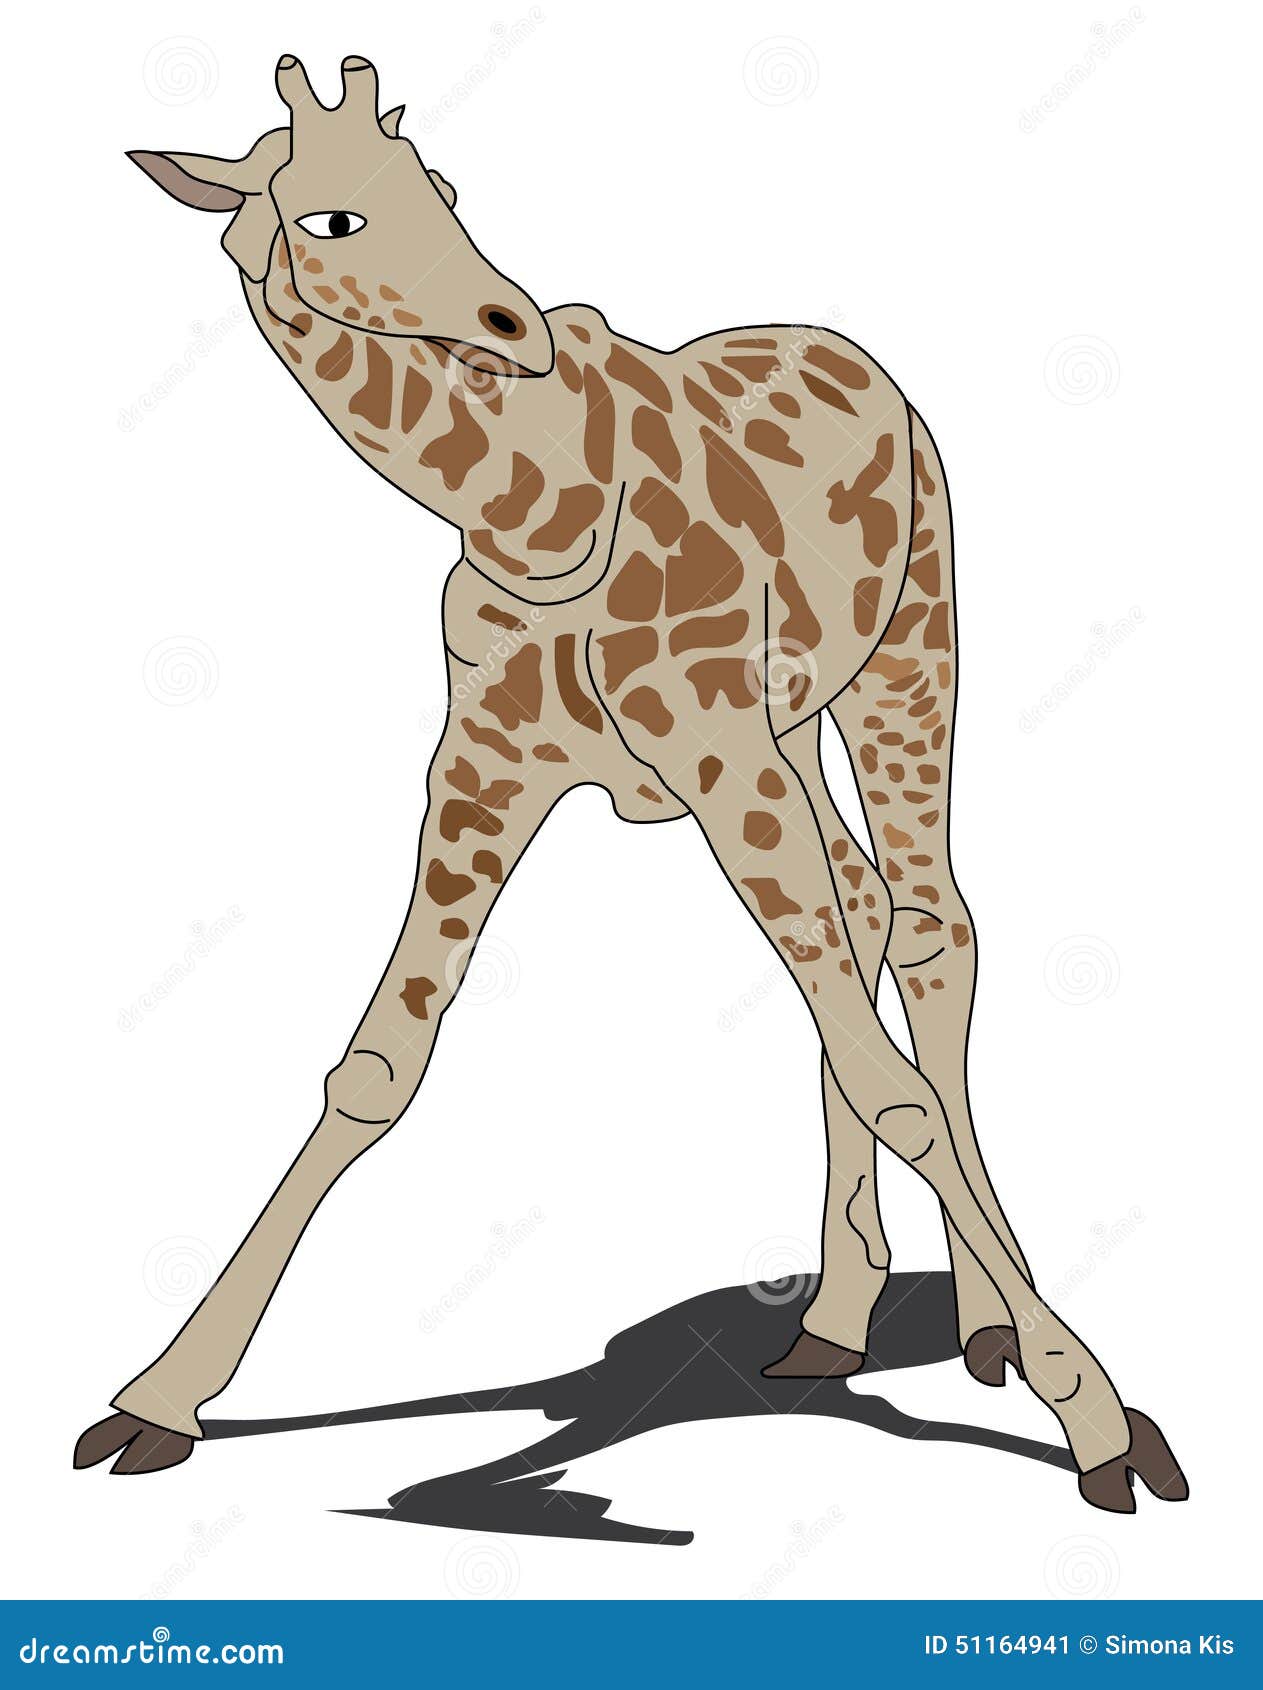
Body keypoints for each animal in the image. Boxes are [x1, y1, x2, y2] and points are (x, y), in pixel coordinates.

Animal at [75, 54, 1187, 1515]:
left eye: (441, 187)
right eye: (330, 218)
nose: (513, 323)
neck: (524, 508)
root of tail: (853, 353)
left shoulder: (718, 754)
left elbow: (886, 1074)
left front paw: (1103, 1419)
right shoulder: (486, 763)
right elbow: (377, 1065)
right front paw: (159, 1398)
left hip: (909, 647)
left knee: (928, 921)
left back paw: (983, 1323)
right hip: (795, 724)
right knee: (861, 918)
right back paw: (838, 1320)